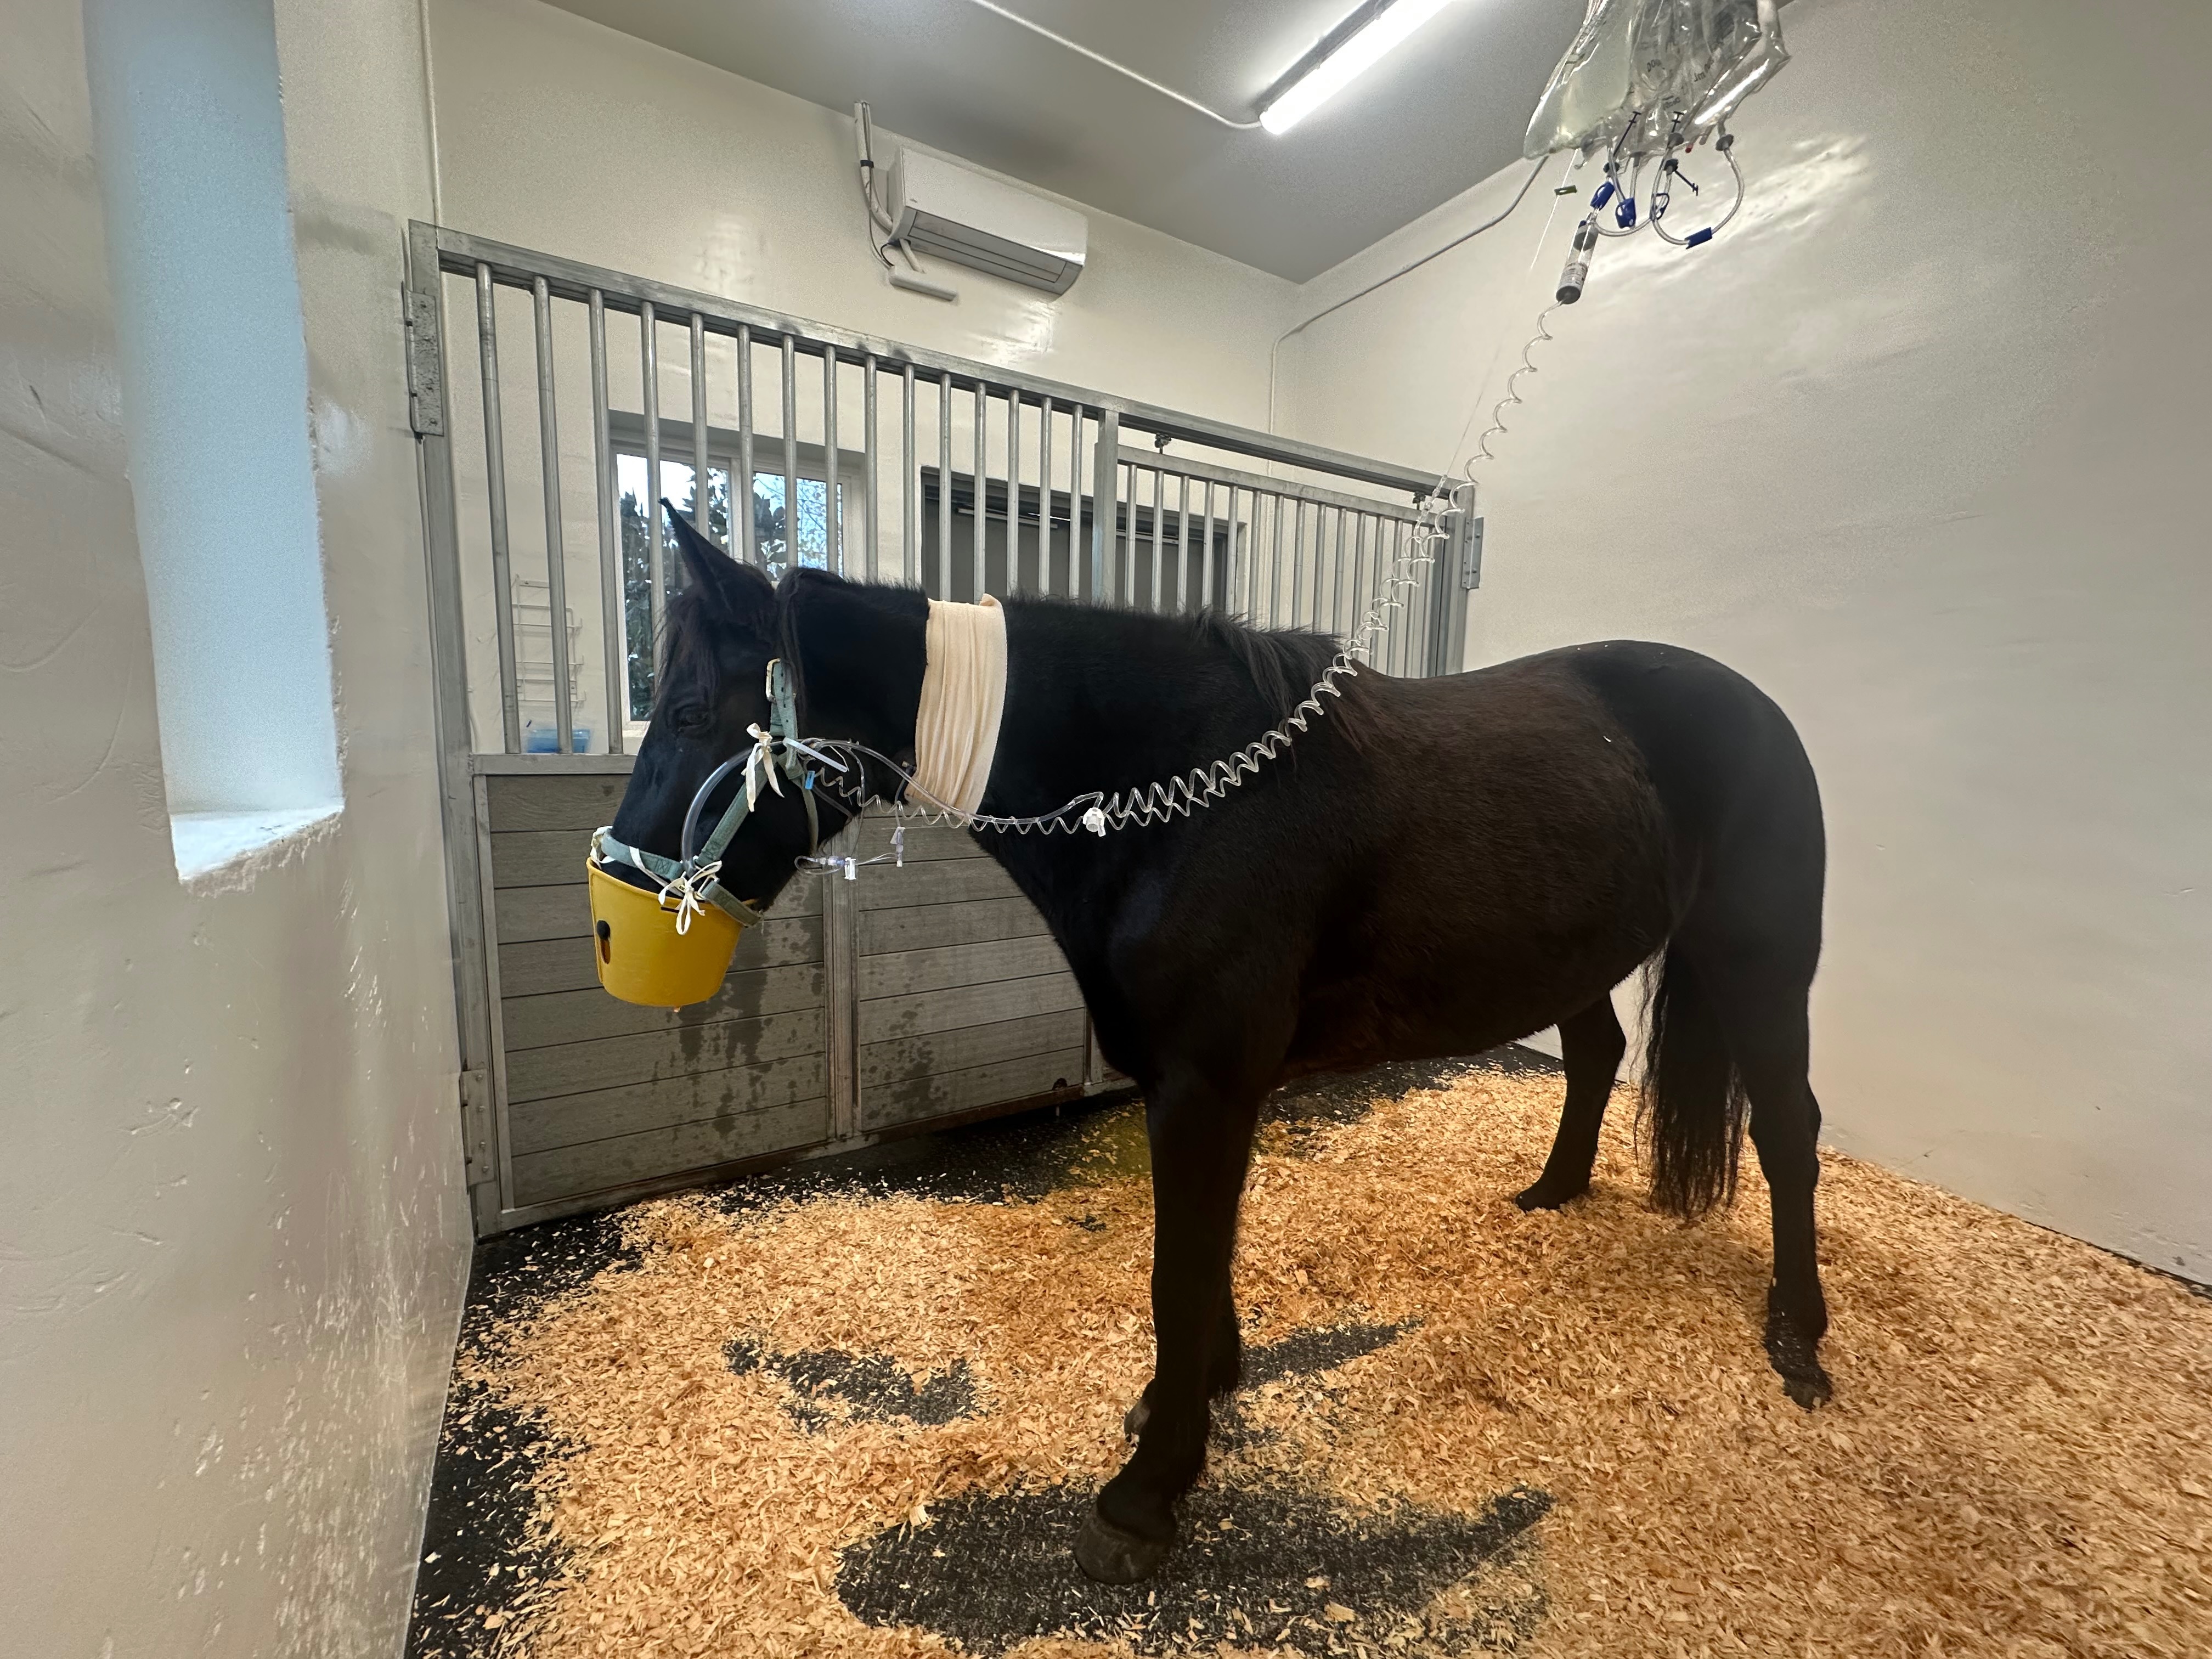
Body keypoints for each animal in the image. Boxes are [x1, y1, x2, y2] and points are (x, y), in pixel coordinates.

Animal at [610, 509, 1833, 1584]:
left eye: (686, 710)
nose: (618, 895)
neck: (1184, 802)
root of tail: (1759, 708)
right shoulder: (1196, 1088)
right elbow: (1204, 1256)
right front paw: (1191, 1396)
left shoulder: (1207, 1085)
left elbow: (1181, 1270)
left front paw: (1146, 1495)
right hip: (1583, 955)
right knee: (1598, 1053)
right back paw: (1554, 1193)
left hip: (1760, 960)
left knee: (1789, 1129)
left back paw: (1799, 1336)